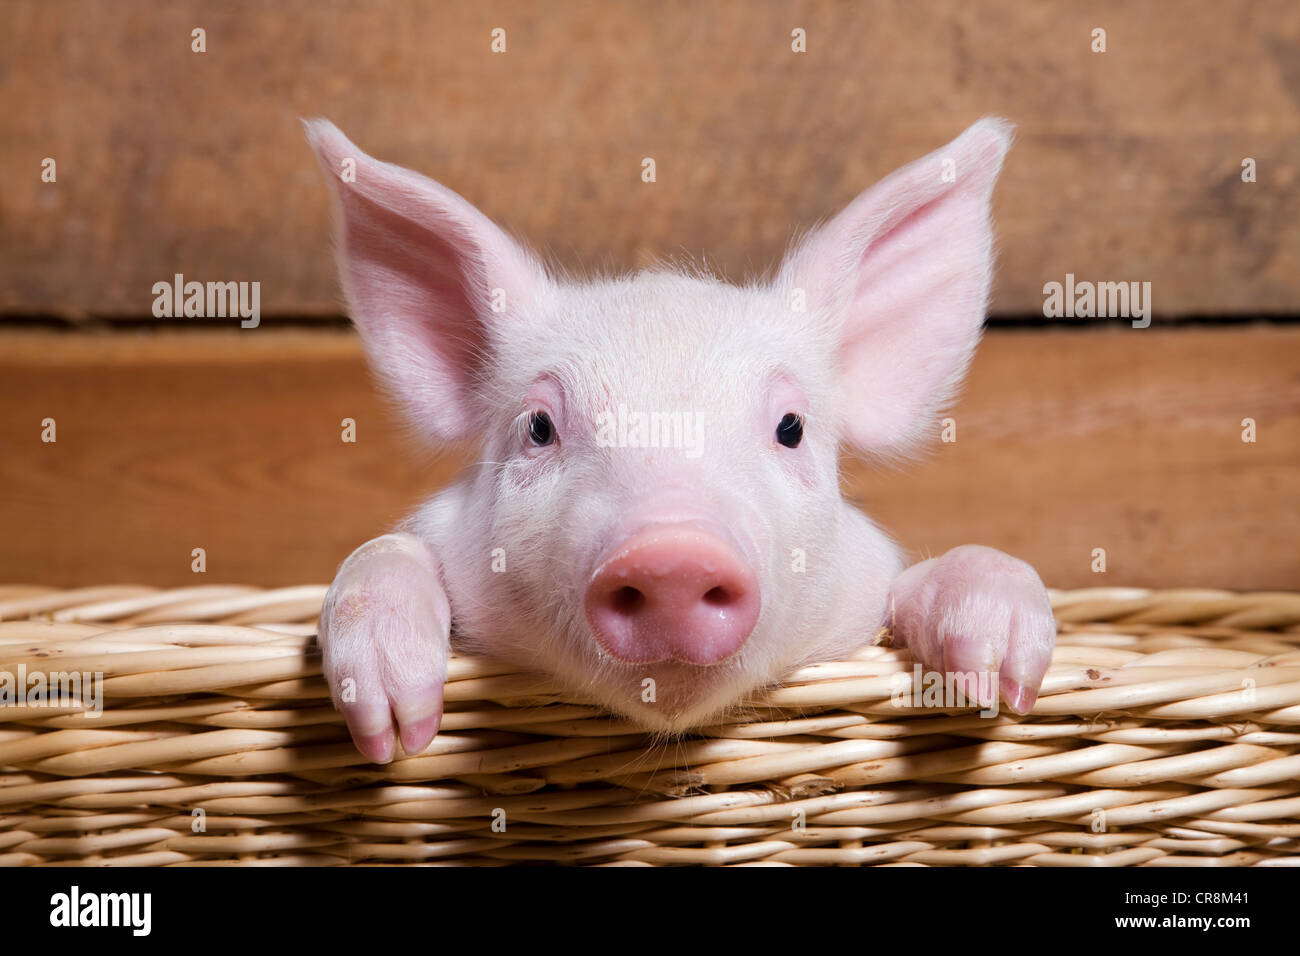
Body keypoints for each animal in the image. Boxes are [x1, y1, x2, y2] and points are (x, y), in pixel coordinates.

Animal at [305, 117, 1056, 764]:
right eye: (540, 427)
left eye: (791, 428)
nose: (672, 556)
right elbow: (381, 558)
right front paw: (395, 734)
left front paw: (997, 684)